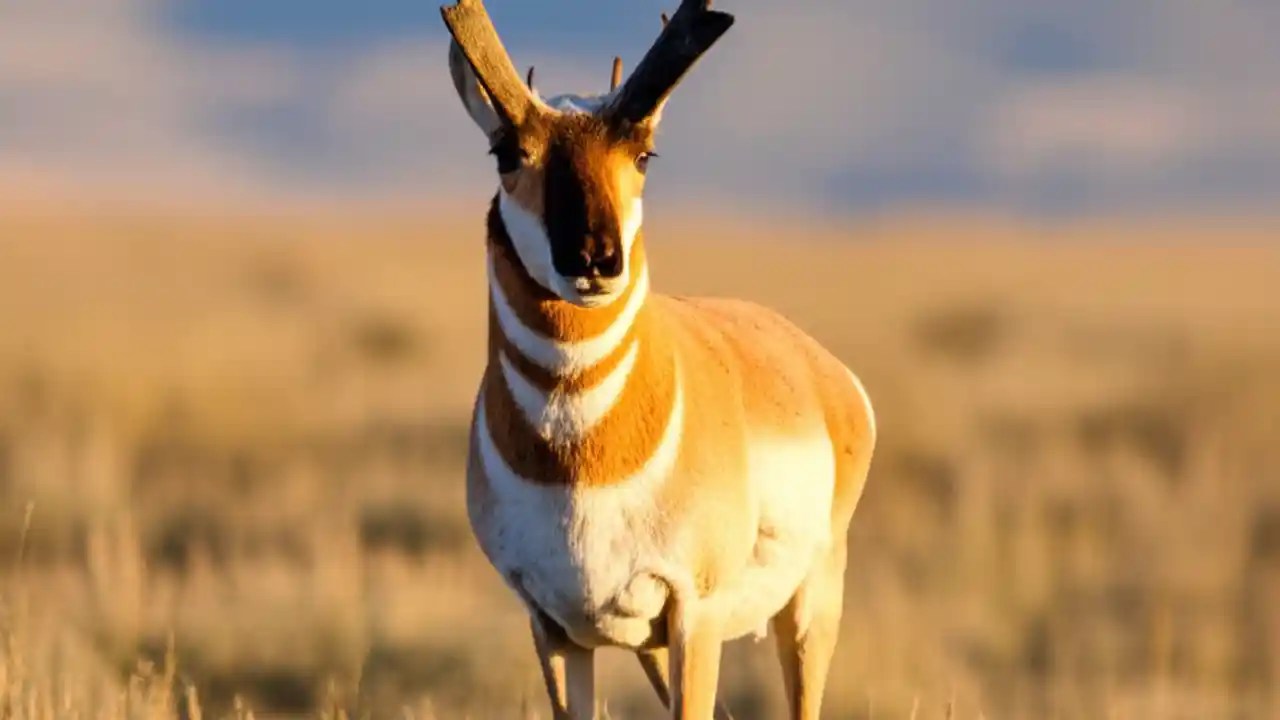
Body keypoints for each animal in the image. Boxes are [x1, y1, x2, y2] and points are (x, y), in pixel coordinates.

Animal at [442, 1, 876, 717]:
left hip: (811, 603)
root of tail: (825, 371)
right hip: (647, 643)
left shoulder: (694, 613)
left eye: (643, 153)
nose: (595, 259)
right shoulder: (553, 626)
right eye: (507, 151)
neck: (579, 459)